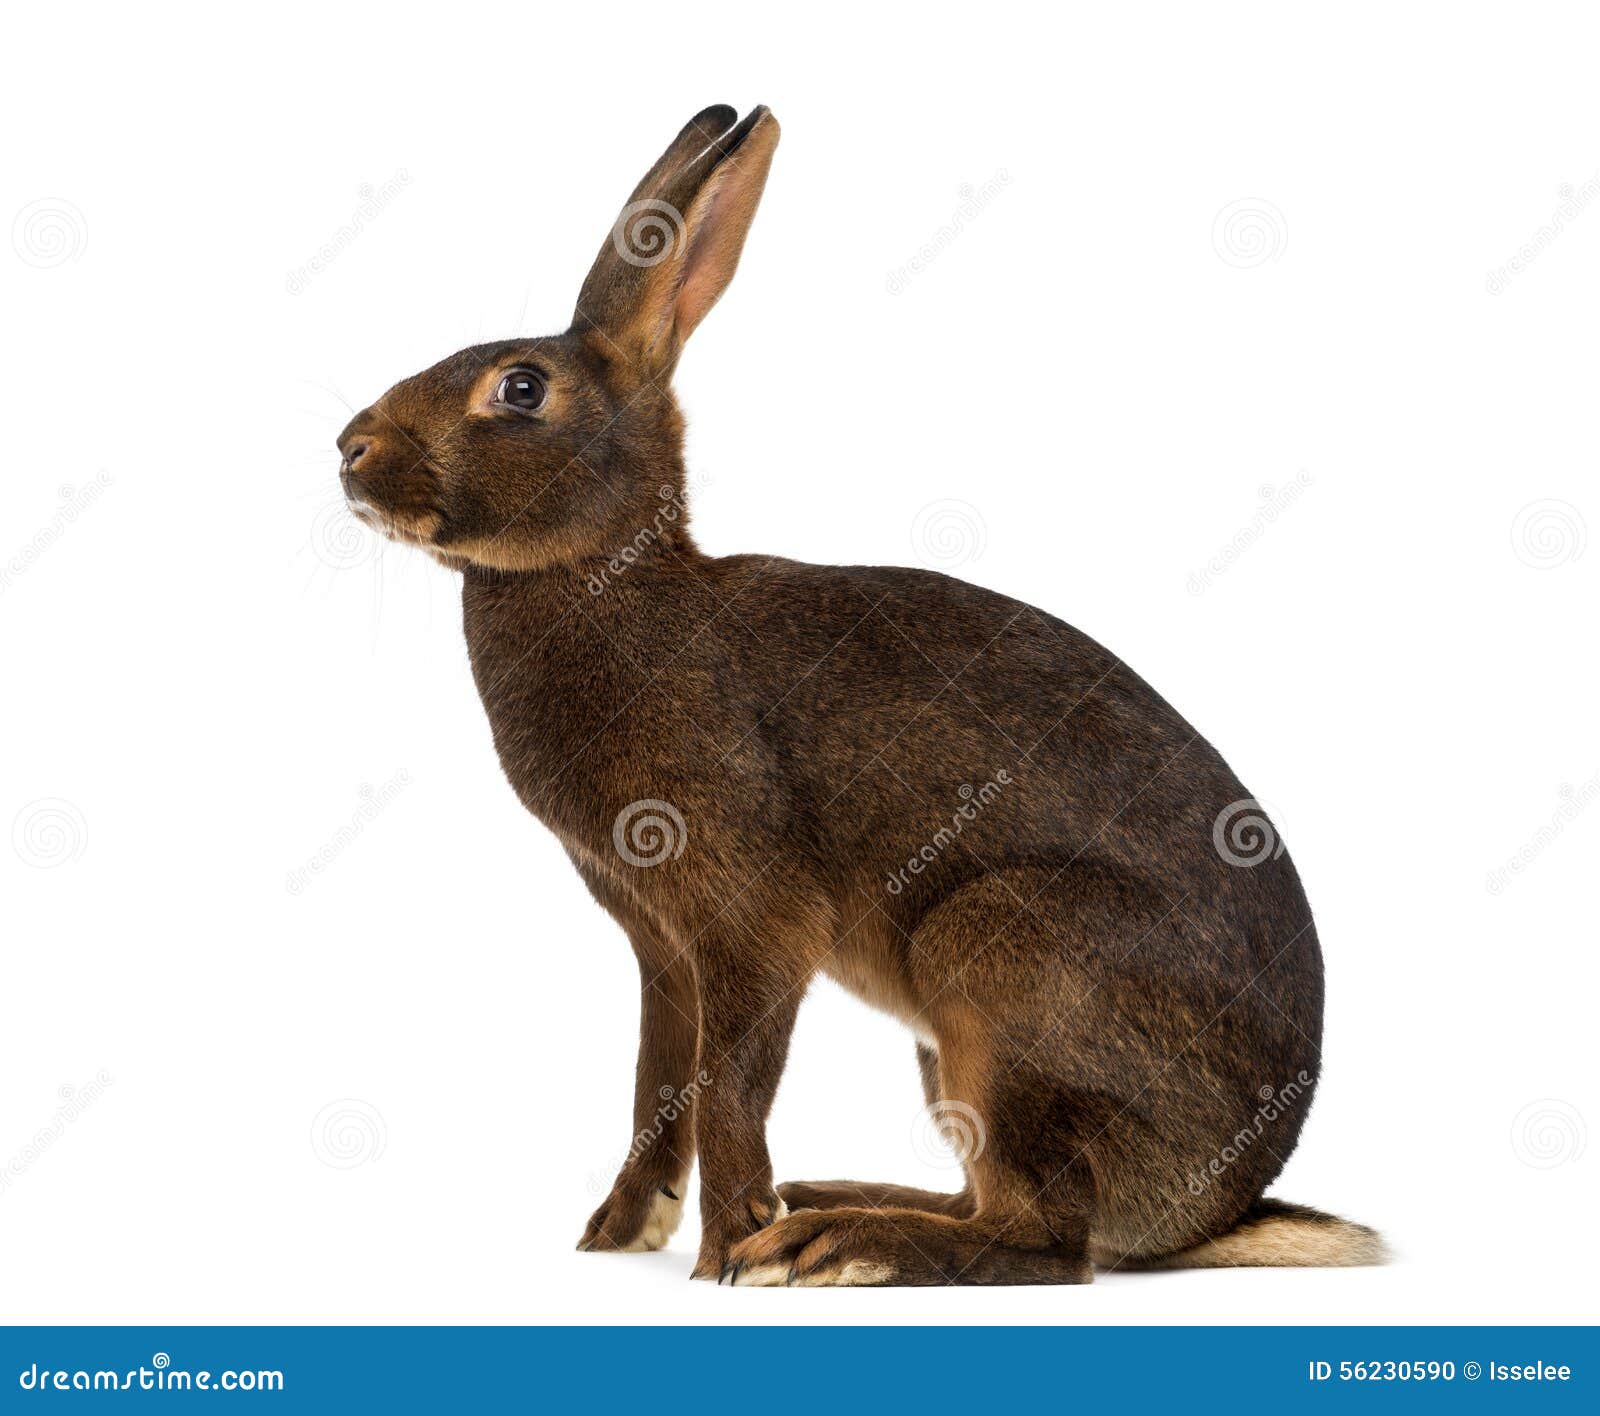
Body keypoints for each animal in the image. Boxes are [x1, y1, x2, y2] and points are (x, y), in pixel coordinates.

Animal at [335, 104, 1383, 1285]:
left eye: (519, 389)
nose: (349, 449)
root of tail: (1218, 1206)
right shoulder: (662, 952)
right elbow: (660, 1086)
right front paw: (619, 1233)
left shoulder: (750, 922)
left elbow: (728, 1091)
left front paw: (727, 1254)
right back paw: (835, 1202)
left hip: (1002, 963)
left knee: (1042, 1241)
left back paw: (832, 1238)